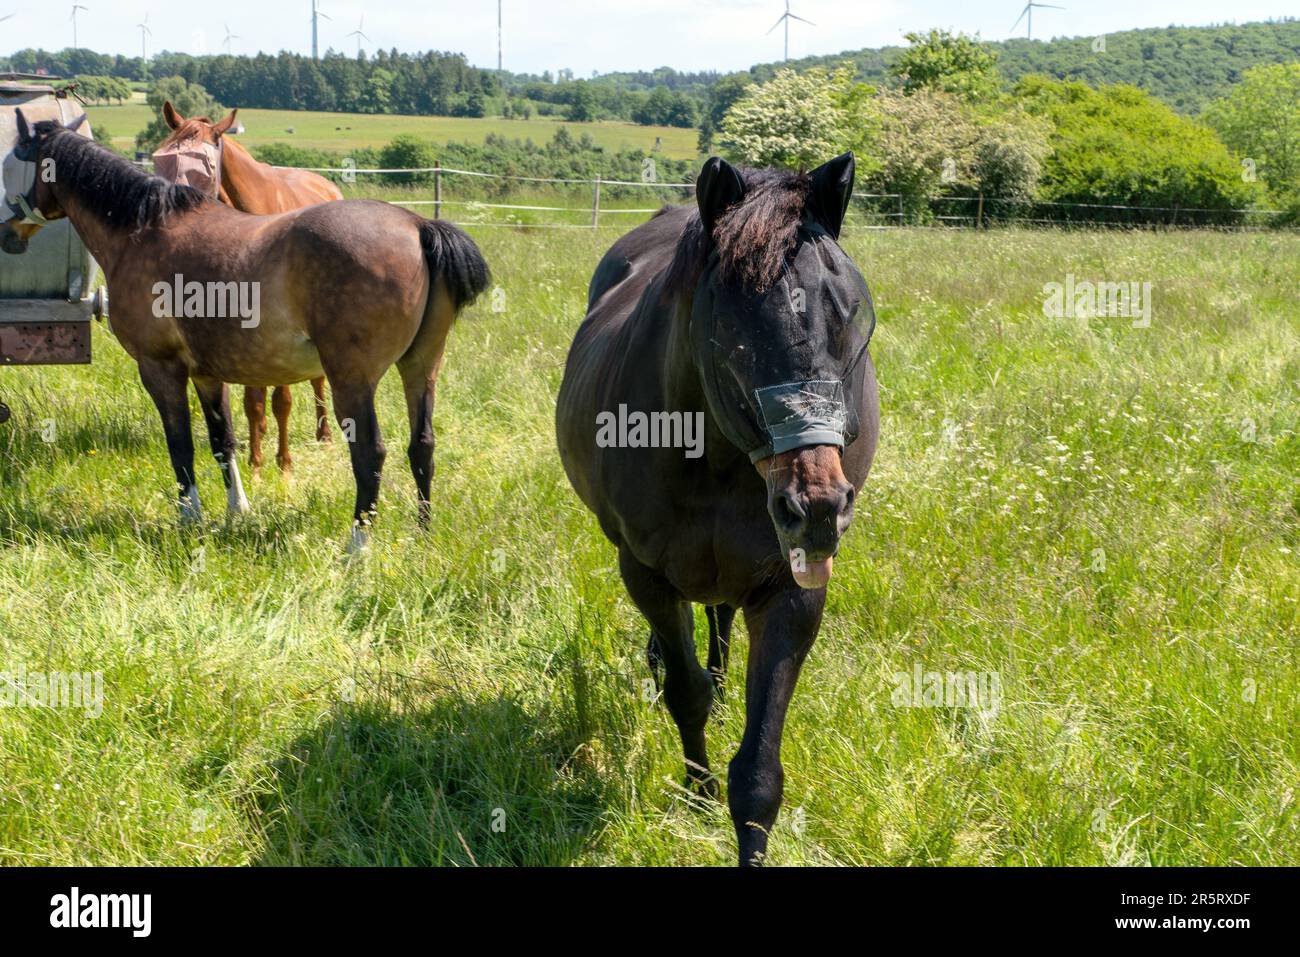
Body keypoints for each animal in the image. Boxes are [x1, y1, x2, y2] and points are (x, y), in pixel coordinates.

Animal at [153, 102, 341, 473]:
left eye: (204, 168)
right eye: (161, 159)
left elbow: (282, 399)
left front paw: (284, 462)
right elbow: (251, 400)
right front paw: (255, 461)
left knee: (317, 380)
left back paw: (324, 432)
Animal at [556, 154, 879, 865]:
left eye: (851, 315)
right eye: (729, 328)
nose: (817, 508)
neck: (719, 462)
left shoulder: (792, 589)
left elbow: (758, 772)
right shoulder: (645, 572)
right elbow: (686, 695)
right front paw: (698, 791)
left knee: (722, 618)